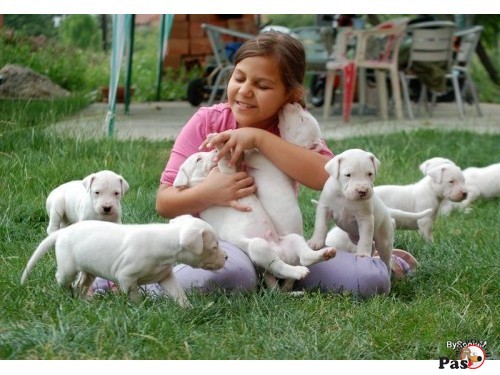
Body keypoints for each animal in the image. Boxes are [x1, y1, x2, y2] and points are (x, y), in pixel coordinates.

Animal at [20, 216, 226, 306]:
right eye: (214, 247)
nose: (226, 257)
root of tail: (62, 232)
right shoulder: (126, 277)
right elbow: (134, 296)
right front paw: (140, 309)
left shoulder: (165, 277)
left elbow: (178, 294)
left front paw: (188, 309)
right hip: (67, 267)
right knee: (62, 278)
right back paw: (64, 292)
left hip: (89, 270)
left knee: (82, 284)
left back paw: (83, 301)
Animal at [173, 148, 336, 290]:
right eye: (198, 159)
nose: (214, 150)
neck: (202, 181)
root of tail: (282, 255)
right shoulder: (225, 177)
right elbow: (226, 166)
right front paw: (223, 152)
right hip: (258, 247)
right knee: (279, 267)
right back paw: (298, 272)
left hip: (292, 239)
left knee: (304, 257)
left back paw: (323, 254)